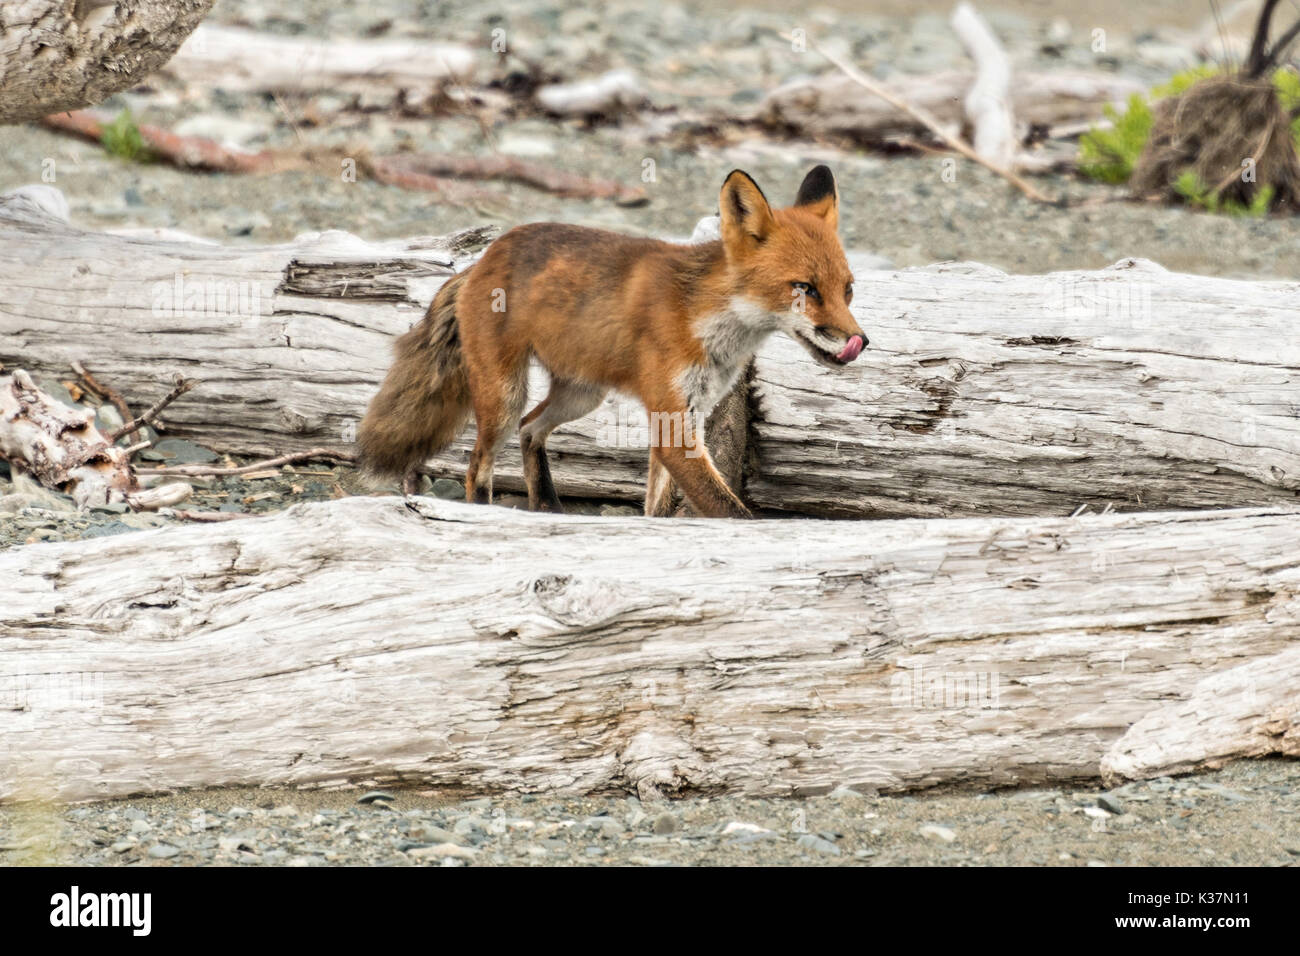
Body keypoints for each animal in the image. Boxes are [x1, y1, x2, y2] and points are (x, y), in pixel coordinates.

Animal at [357, 164, 867, 519]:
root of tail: (479, 261)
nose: (859, 340)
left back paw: (549, 509)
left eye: (847, 289)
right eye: (804, 289)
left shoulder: (689, 413)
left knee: (530, 428)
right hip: (503, 395)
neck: (708, 319)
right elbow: (732, 513)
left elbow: (656, 509)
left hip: (583, 394)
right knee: (477, 466)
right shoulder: (674, 425)